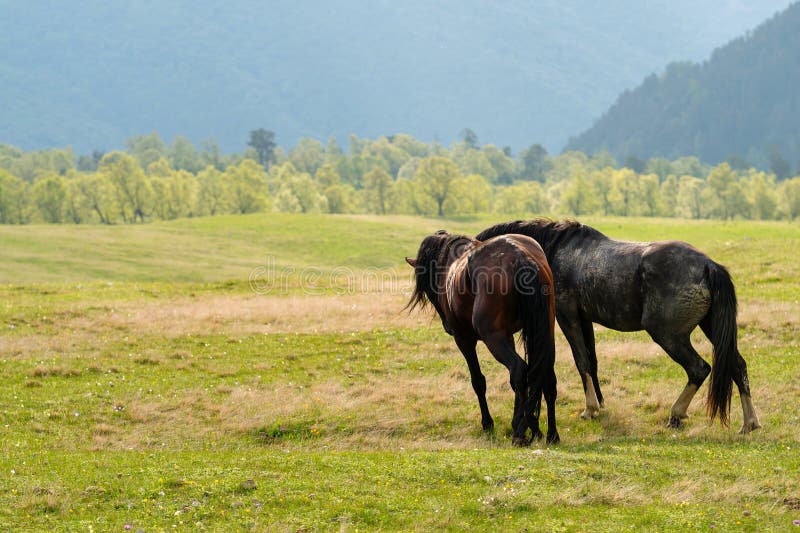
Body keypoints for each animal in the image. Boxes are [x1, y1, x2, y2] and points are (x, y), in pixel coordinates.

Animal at [405, 230, 559, 445]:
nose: (445, 324)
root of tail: (521, 256)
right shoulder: (509, 336)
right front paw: (534, 427)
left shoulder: (464, 339)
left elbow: (478, 381)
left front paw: (488, 423)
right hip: (542, 335)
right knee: (545, 377)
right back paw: (550, 433)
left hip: (493, 339)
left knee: (519, 369)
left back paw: (519, 430)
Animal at [476, 219, 761, 434]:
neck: (554, 250)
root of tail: (708, 266)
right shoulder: (585, 319)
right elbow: (592, 361)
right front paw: (599, 405)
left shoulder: (568, 318)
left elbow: (581, 361)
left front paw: (590, 408)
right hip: (711, 327)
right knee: (737, 365)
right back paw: (750, 422)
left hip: (667, 335)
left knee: (699, 369)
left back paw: (676, 414)